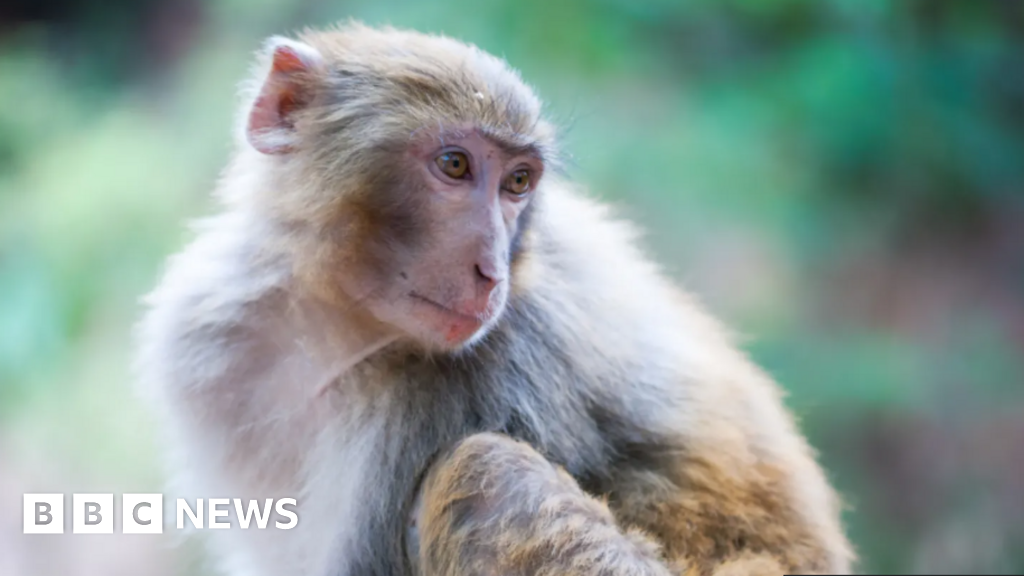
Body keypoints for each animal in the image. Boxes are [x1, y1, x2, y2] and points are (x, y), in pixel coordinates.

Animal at [135, 22, 854, 576]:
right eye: (454, 166)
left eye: (517, 183)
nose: (491, 271)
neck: (334, 323)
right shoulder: (206, 341)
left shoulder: (477, 381)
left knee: (489, 478)